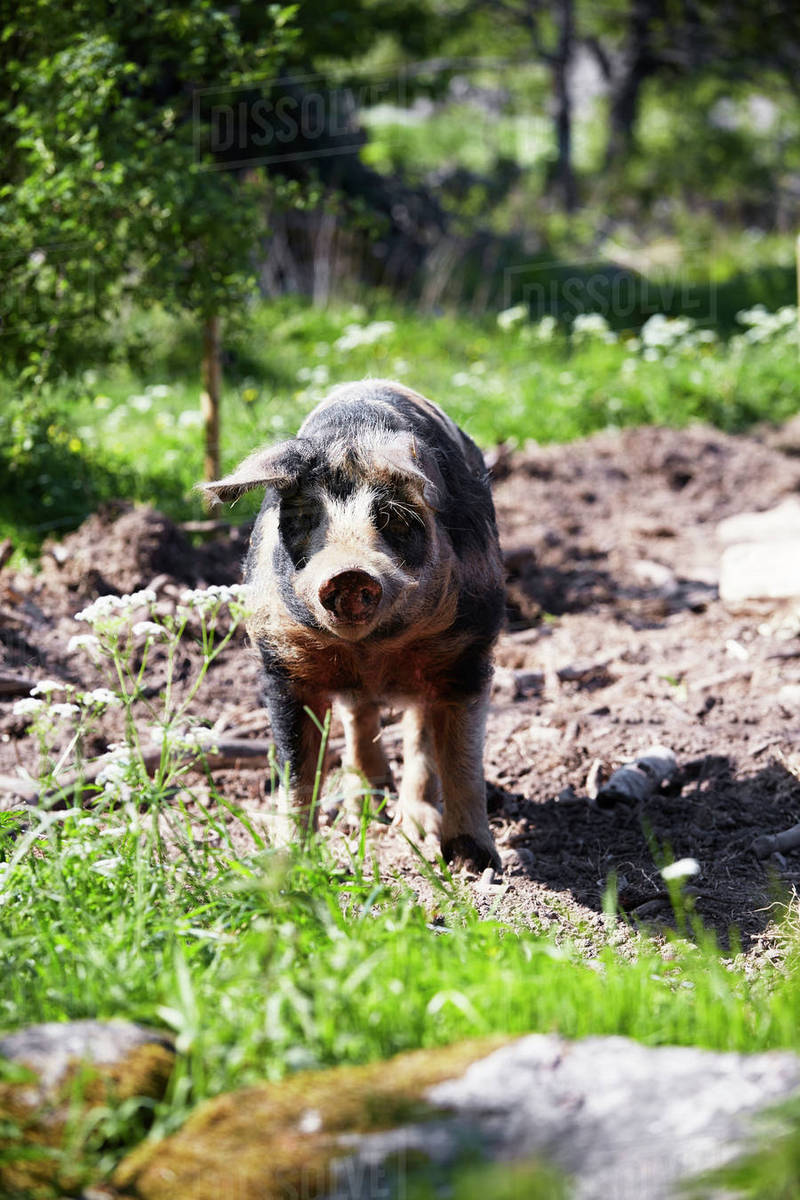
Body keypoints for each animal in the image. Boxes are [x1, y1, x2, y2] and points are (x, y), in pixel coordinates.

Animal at [202, 380, 504, 872]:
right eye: (306, 518)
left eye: (392, 516)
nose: (348, 571)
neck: (371, 650)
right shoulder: (283, 666)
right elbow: (297, 772)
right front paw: (291, 864)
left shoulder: (469, 653)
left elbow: (462, 761)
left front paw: (473, 864)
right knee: (357, 716)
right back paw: (364, 808)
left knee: (419, 729)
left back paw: (416, 828)